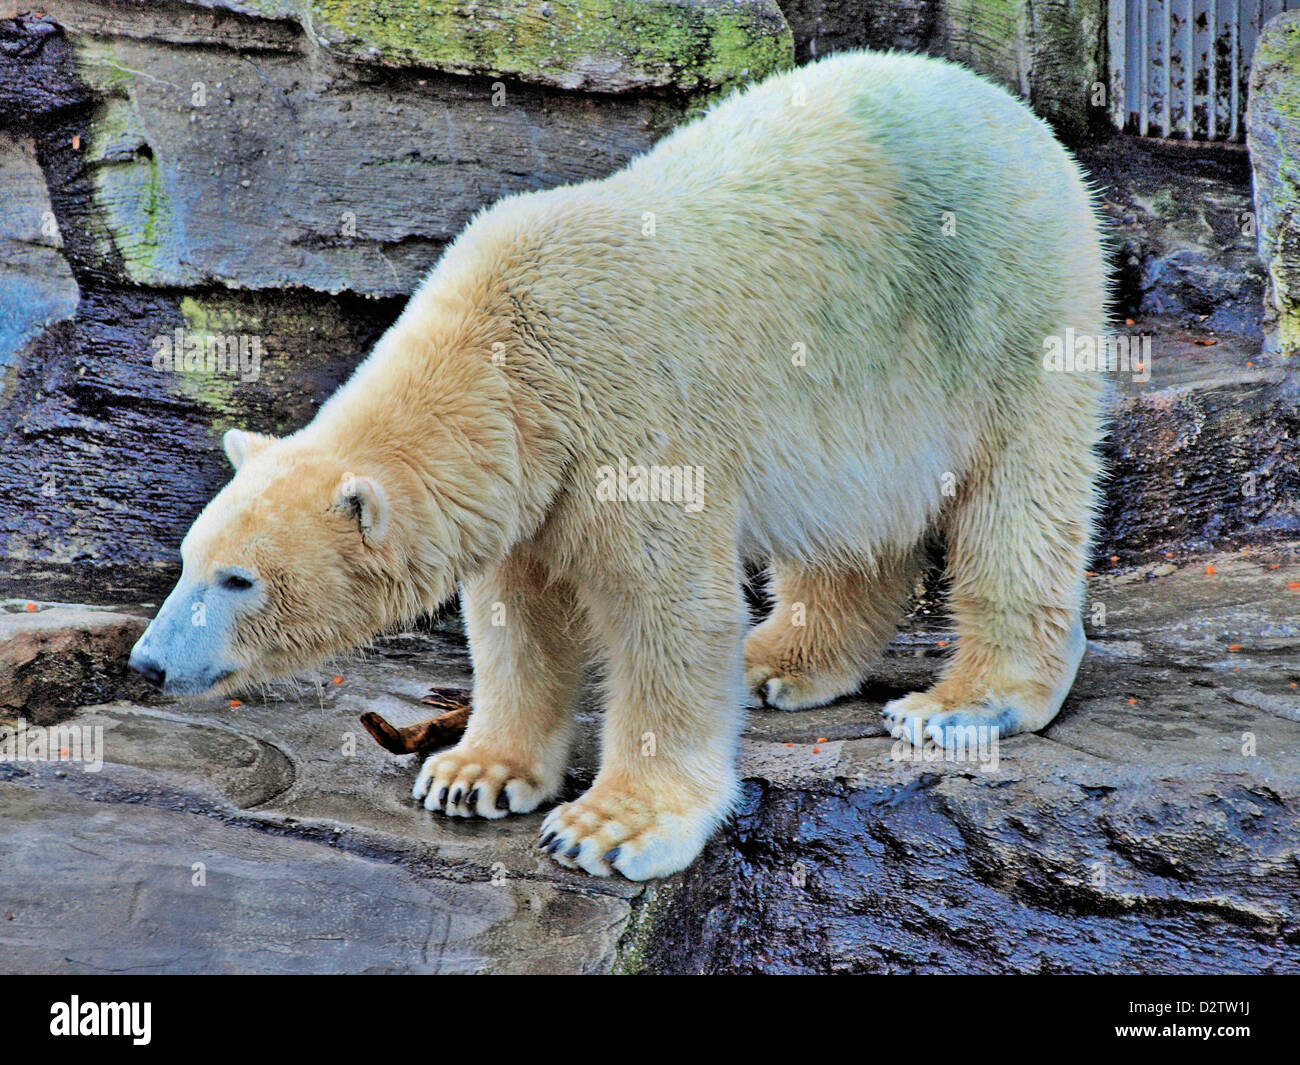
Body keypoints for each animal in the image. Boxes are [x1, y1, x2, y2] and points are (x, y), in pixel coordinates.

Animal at [129, 50, 1107, 881]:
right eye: (187, 561)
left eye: (238, 579)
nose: (146, 663)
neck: (509, 358)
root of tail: (1013, 111)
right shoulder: (529, 480)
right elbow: (515, 614)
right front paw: (473, 774)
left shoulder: (629, 417)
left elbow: (667, 610)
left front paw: (611, 827)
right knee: (849, 520)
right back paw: (780, 660)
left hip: (1000, 305)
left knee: (1021, 497)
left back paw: (963, 702)